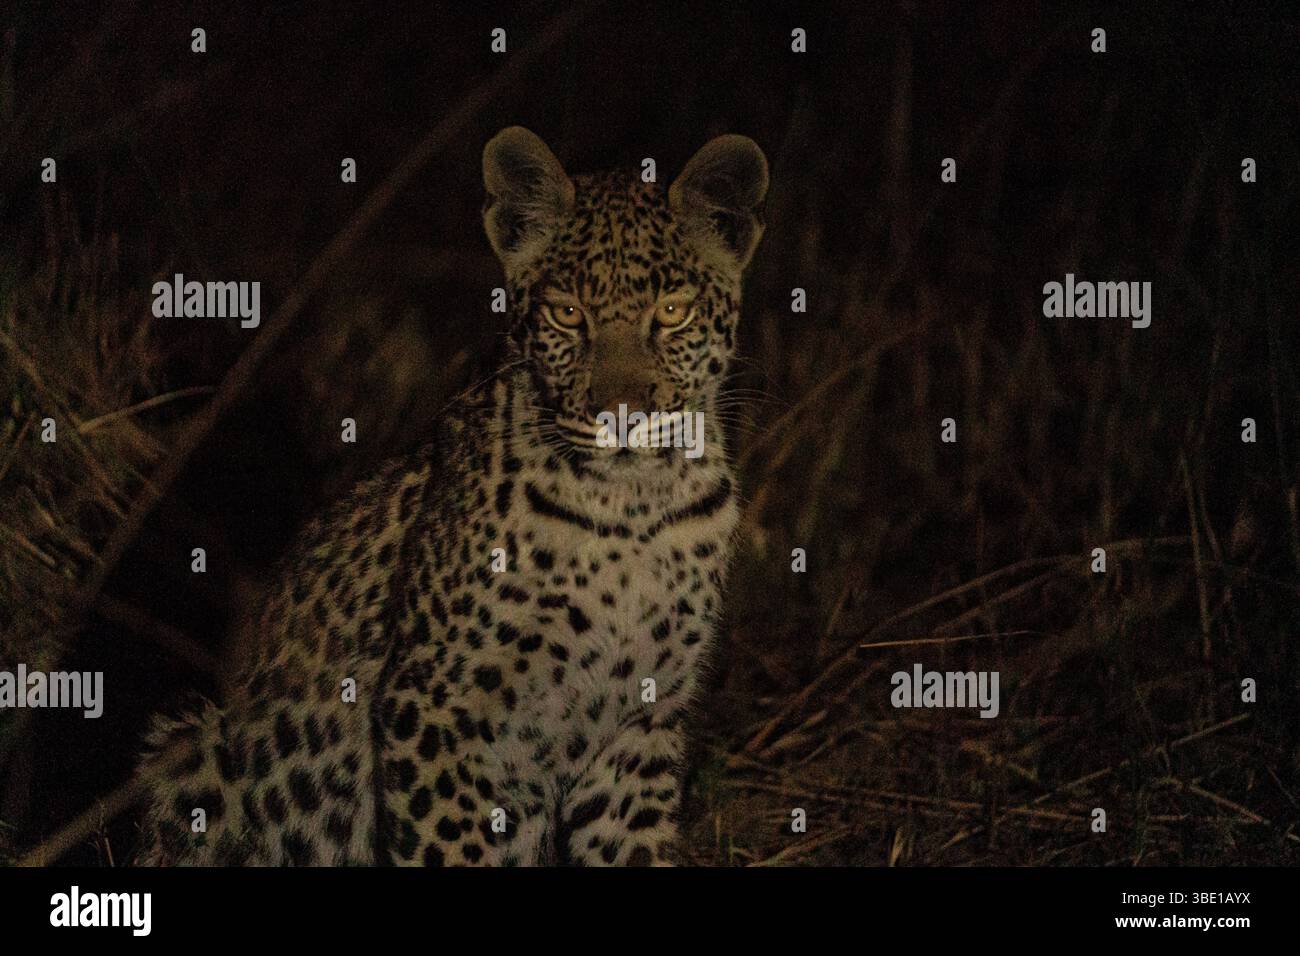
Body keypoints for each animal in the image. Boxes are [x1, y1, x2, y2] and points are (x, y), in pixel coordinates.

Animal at [135, 126, 769, 866]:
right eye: (567, 314)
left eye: (672, 313)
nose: (622, 417)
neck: (635, 507)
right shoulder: (436, 705)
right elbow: (454, 846)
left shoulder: (639, 727)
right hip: (191, 747)